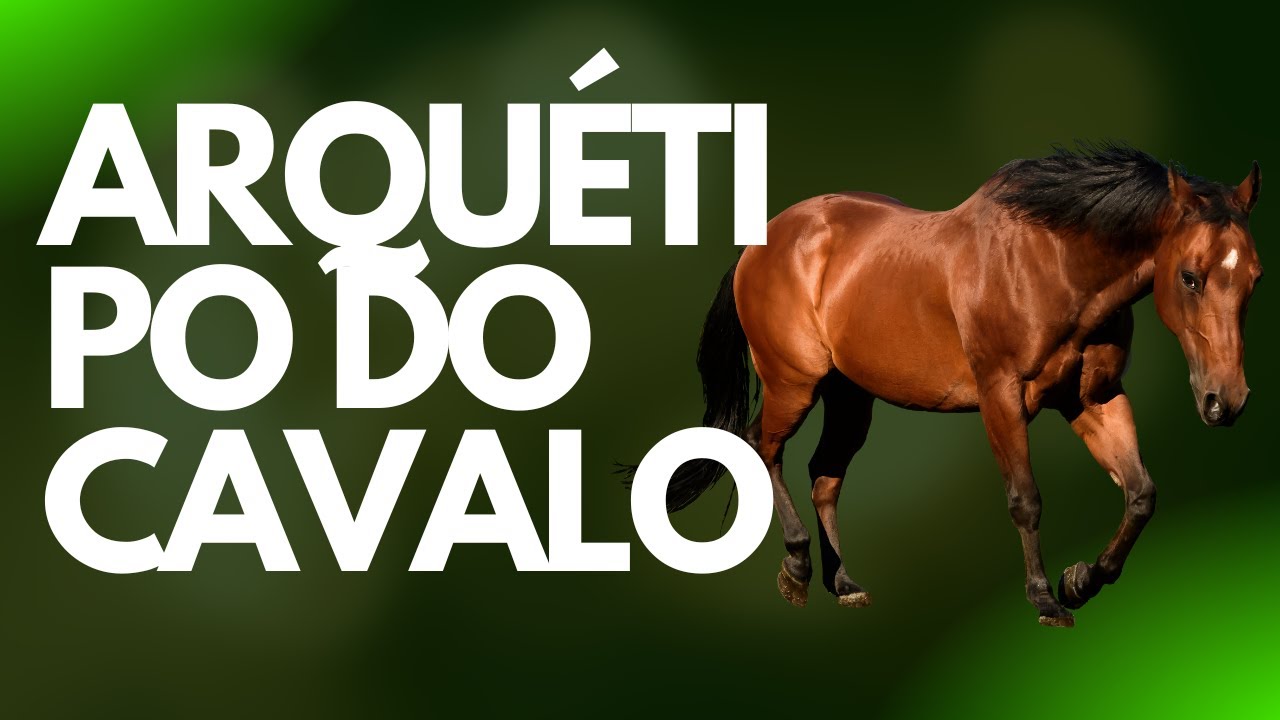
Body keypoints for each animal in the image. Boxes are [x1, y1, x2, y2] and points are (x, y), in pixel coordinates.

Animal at [665, 144, 1263, 627]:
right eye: (1190, 276)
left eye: (1254, 278)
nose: (1225, 401)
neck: (1054, 264)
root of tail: (759, 243)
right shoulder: (1000, 395)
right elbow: (1025, 498)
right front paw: (1045, 599)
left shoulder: (1095, 399)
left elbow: (1140, 495)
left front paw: (1081, 580)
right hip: (793, 383)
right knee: (763, 448)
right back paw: (796, 565)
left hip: (850, 395)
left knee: (825, 475)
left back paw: (844, 582)